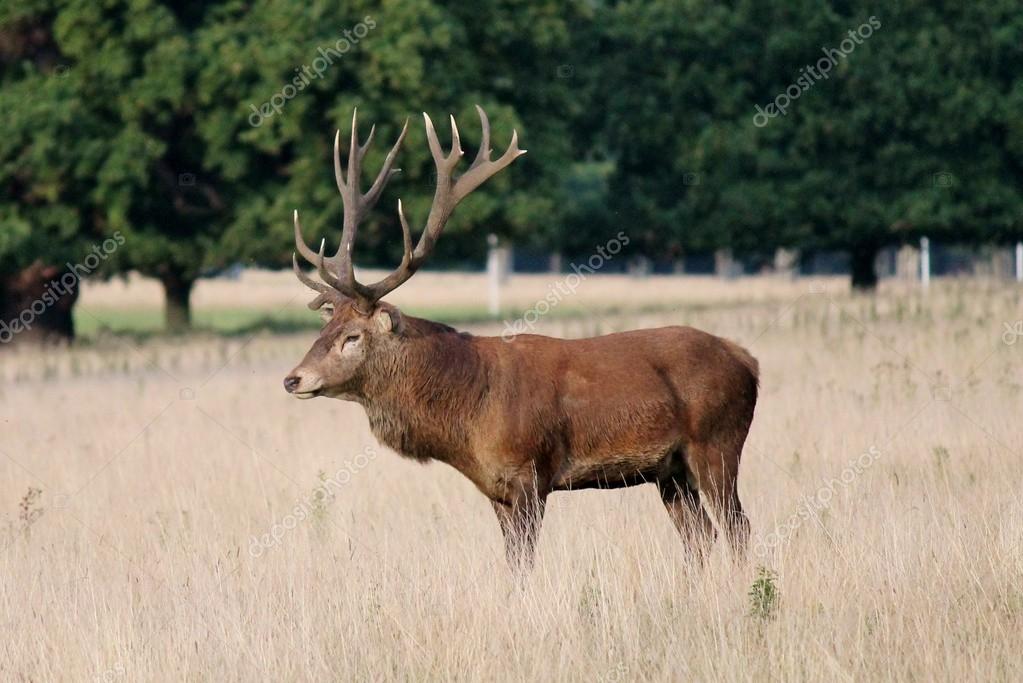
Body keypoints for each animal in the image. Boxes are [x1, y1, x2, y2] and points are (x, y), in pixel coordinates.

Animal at [284, 107, 759, 571]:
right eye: (324, 328)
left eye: (352, 336)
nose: (293, 379)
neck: (467, 412)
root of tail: (747, 360)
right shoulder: (496, 488)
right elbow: (512, 562)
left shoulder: (530, 471)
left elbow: (526, 563)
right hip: (670, 472)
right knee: (701, 536)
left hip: (717, 443)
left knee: (738, 527)